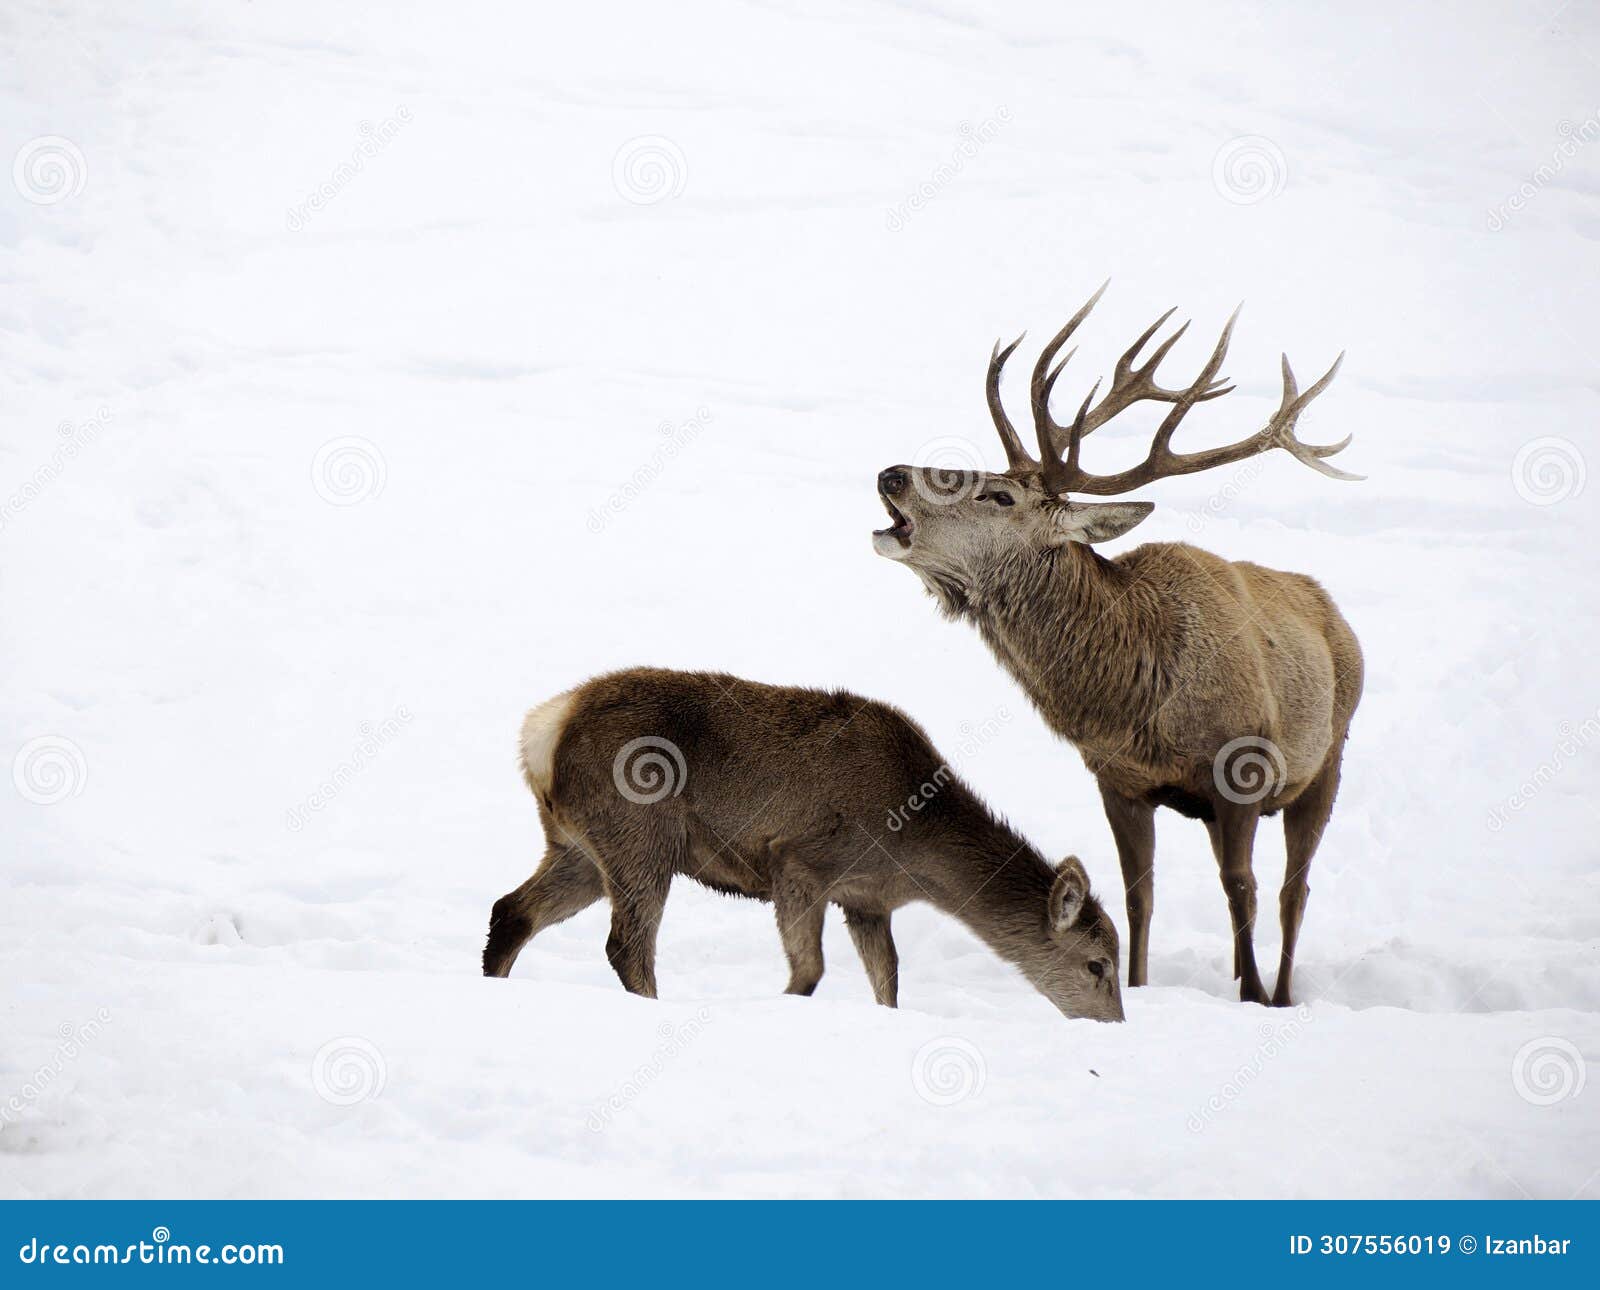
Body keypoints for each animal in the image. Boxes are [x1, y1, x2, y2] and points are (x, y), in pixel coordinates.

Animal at [482, 667, 1125, 1021]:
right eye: (1097, 964)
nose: (1113, 1025)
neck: (914, 850)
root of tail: (542, 733)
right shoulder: (800, 862)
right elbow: (810, 971)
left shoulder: (866, 901)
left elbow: (888, 981)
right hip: (640, 836)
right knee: (625, 945)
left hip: (580, 849)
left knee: (512, 909)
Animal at [872, 284, 1363, 1007]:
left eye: (1000, 495)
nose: (892, 474)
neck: (1138, 700)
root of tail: (1335, 614)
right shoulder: (1117, 778)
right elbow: (1140, 896)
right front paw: (1140, 985)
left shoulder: (1242, 770)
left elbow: (1241, 889)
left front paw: (1250, 996)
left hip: (1326, 762)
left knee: (1290, 891)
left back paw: (1277, 991)